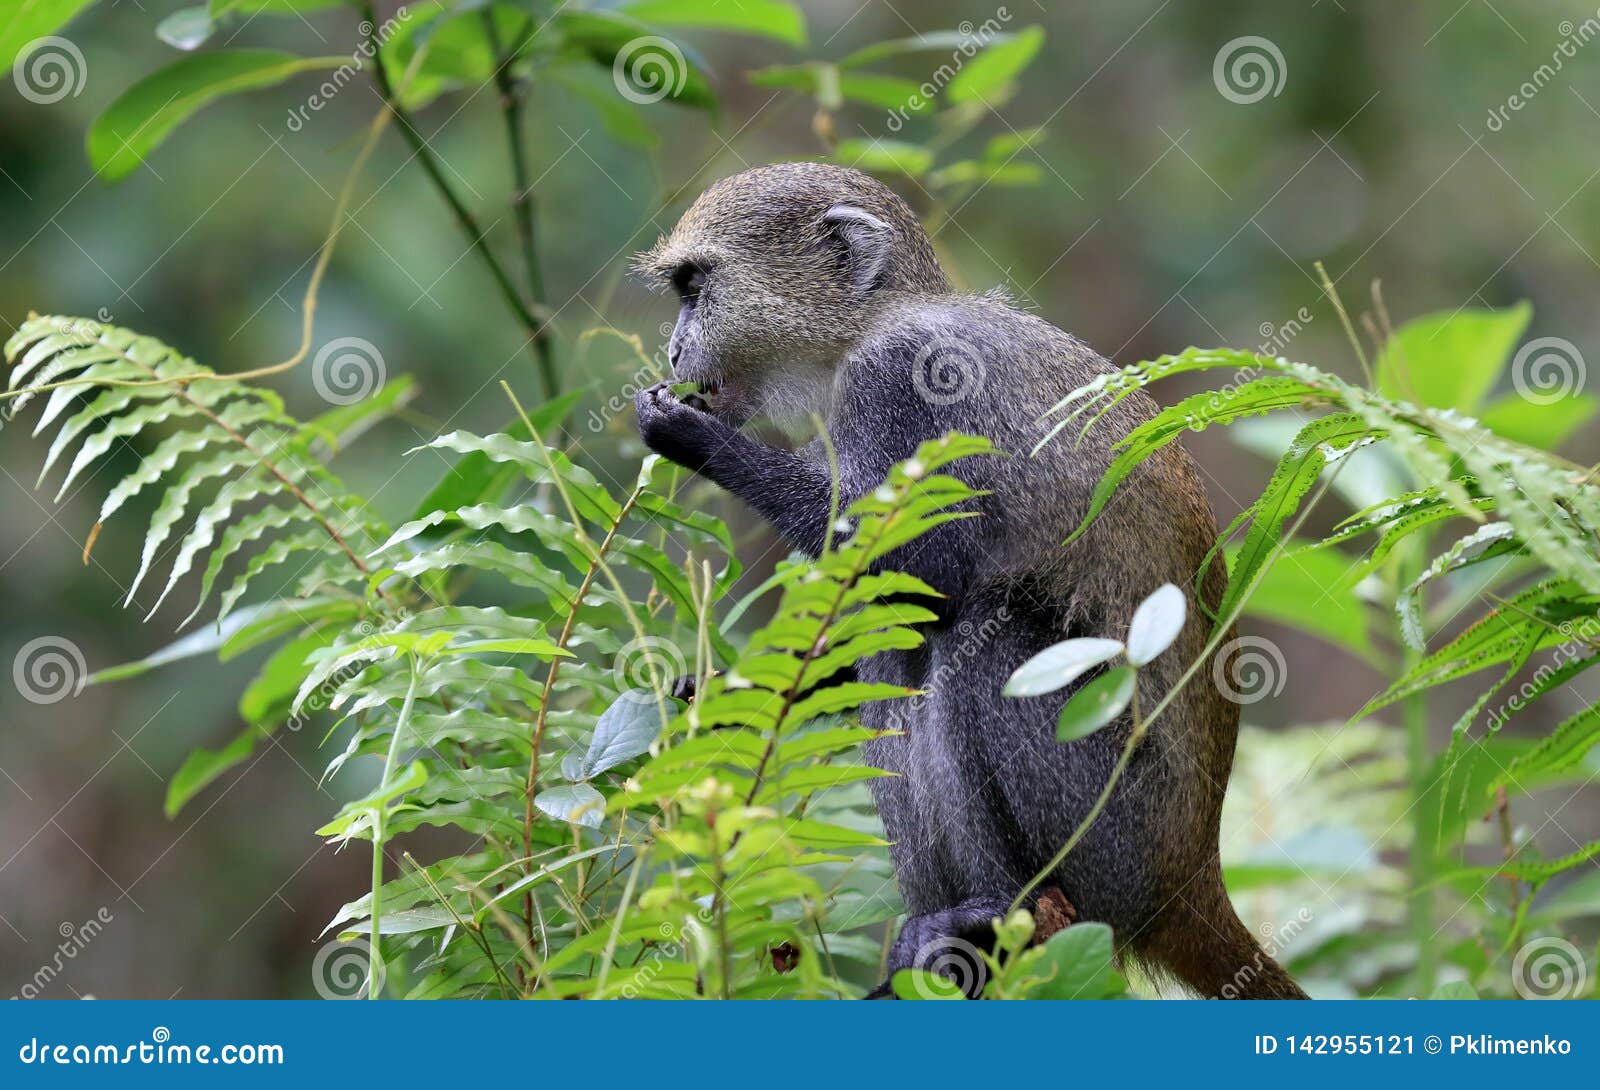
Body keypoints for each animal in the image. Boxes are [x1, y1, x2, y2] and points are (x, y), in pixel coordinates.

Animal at [632, 162, 1307, 1000]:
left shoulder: (902, 381)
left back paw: (999, 922)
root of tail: (1192, 878)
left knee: (981, 638)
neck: (866, 325)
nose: (673, 349)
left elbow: (930, 574)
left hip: (1115, 837)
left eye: (696, 288)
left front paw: (693, 436)